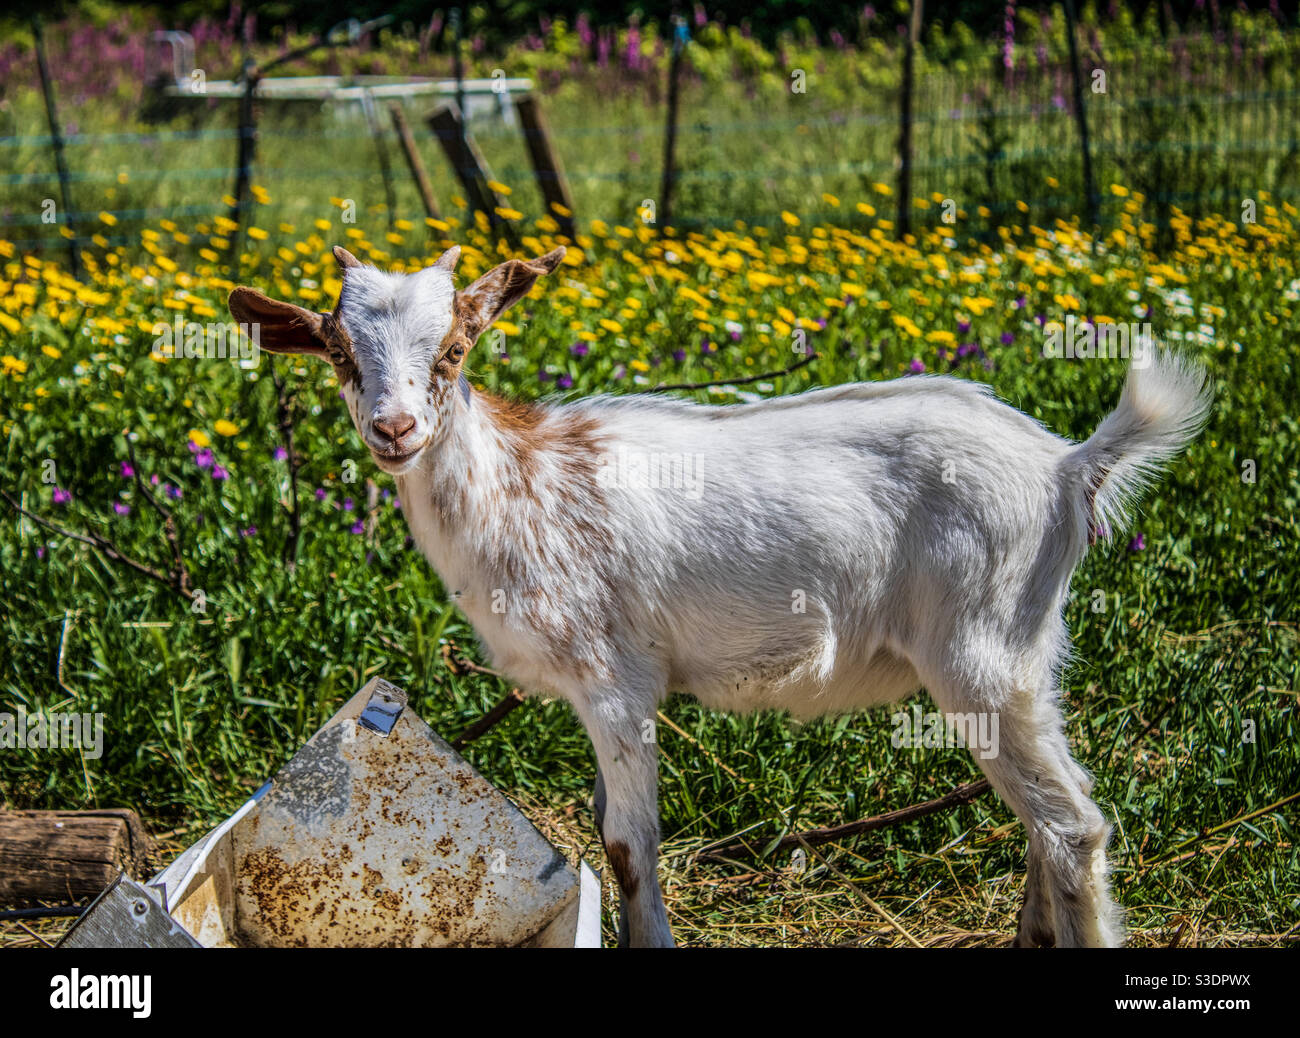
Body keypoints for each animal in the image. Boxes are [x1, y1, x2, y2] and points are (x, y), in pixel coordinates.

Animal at [228, 244, 1211, 948]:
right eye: (339, 353)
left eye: (455, 348)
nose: (394, 430)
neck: (522, 485)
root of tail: (1068, 465)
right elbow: (605, 824)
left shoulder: (616, 679)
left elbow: (628, 845)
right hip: (1026, 657)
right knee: (1048, 823)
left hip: (982, 654)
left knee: (1073, 825)